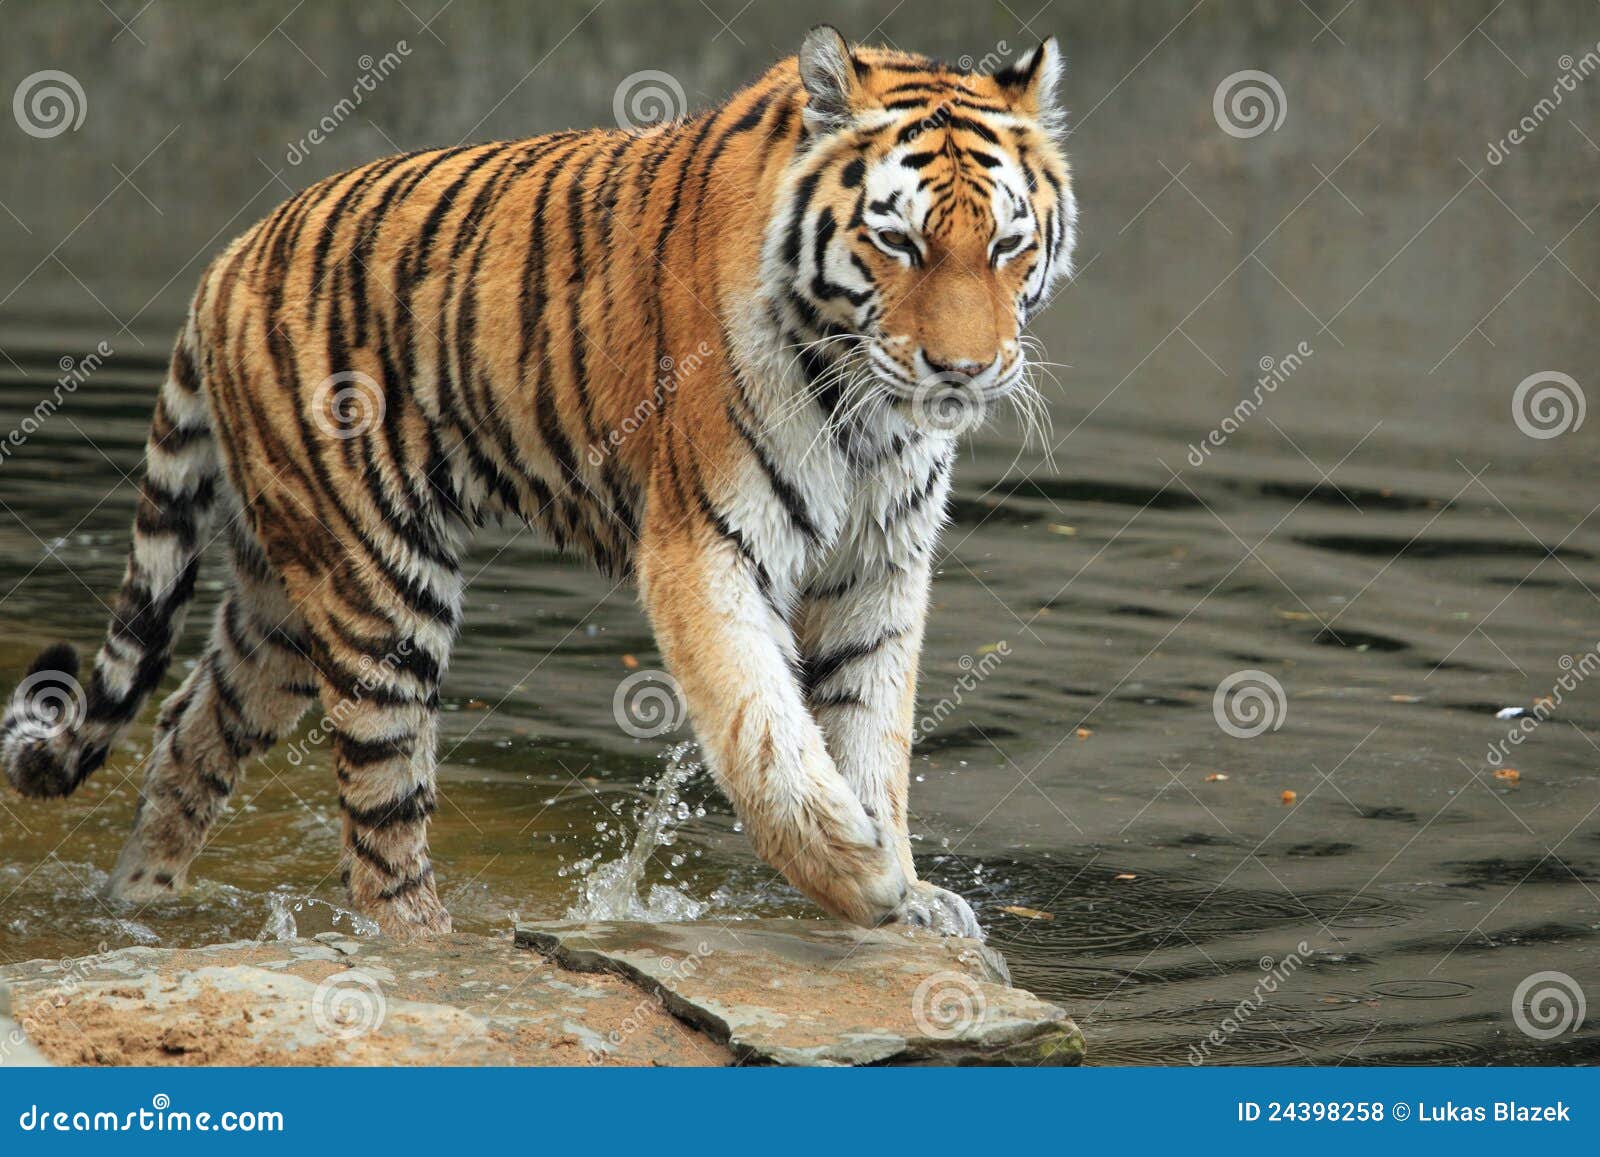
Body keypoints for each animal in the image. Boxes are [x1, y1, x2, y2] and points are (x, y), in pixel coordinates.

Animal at [0, 26, 1075, 940]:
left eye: (1007, 245)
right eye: (899, 243)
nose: (964, 371)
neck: (869, 413)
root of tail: (228, 257)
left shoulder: (878, 564)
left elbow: (873, 731)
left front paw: (910, 889)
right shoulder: (706, 545)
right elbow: (765, 730)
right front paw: (860, 872)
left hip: (279, 599)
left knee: (189, 727)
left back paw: (140, 903)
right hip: (379, 585)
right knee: (380, 827)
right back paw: (428, 944)